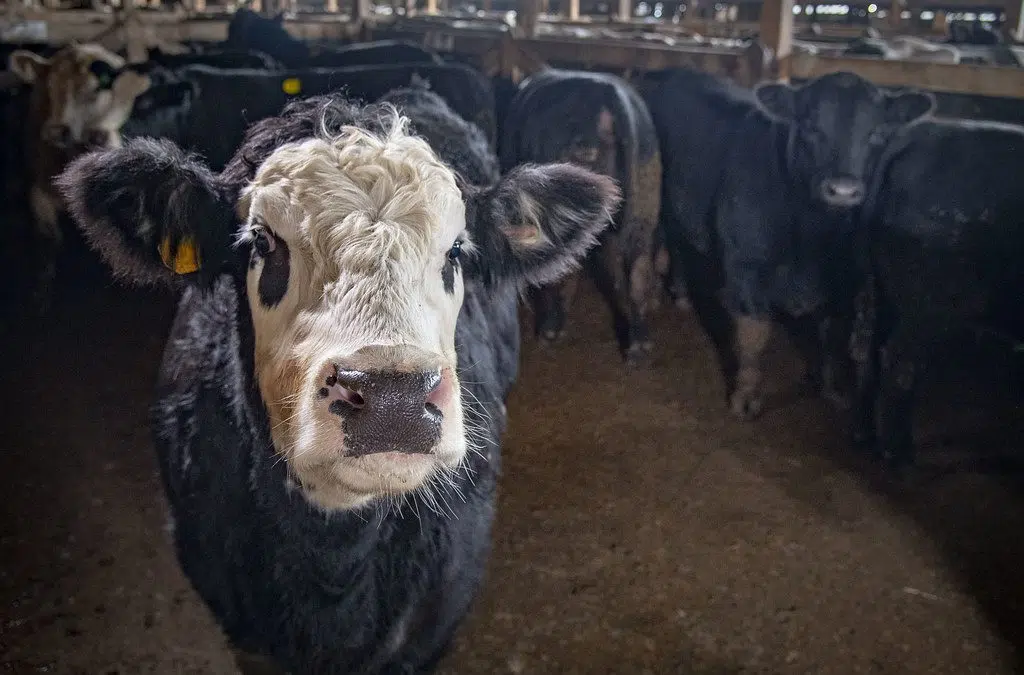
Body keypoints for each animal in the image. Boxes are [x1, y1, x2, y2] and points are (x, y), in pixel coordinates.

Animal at [7, 42, 151, 312]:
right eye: (50, 84)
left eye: (96, 89)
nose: (56, 130)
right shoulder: (38, 194)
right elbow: (48, 241)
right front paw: (41, 297)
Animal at [638, 68, 935, 419]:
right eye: (809, 126)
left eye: (877, 133)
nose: (843, 190)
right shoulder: (745, 267)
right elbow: (754, 335)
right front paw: (745, 397)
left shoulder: (843, 281)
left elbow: (831, 336)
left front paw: (832, 391)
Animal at [851, 117, 1024, 468]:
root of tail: (922, 131)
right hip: (930, 310)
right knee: (899, 363)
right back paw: (898, 455)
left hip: (878, 290)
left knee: (867, 351)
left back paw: (864, 434)